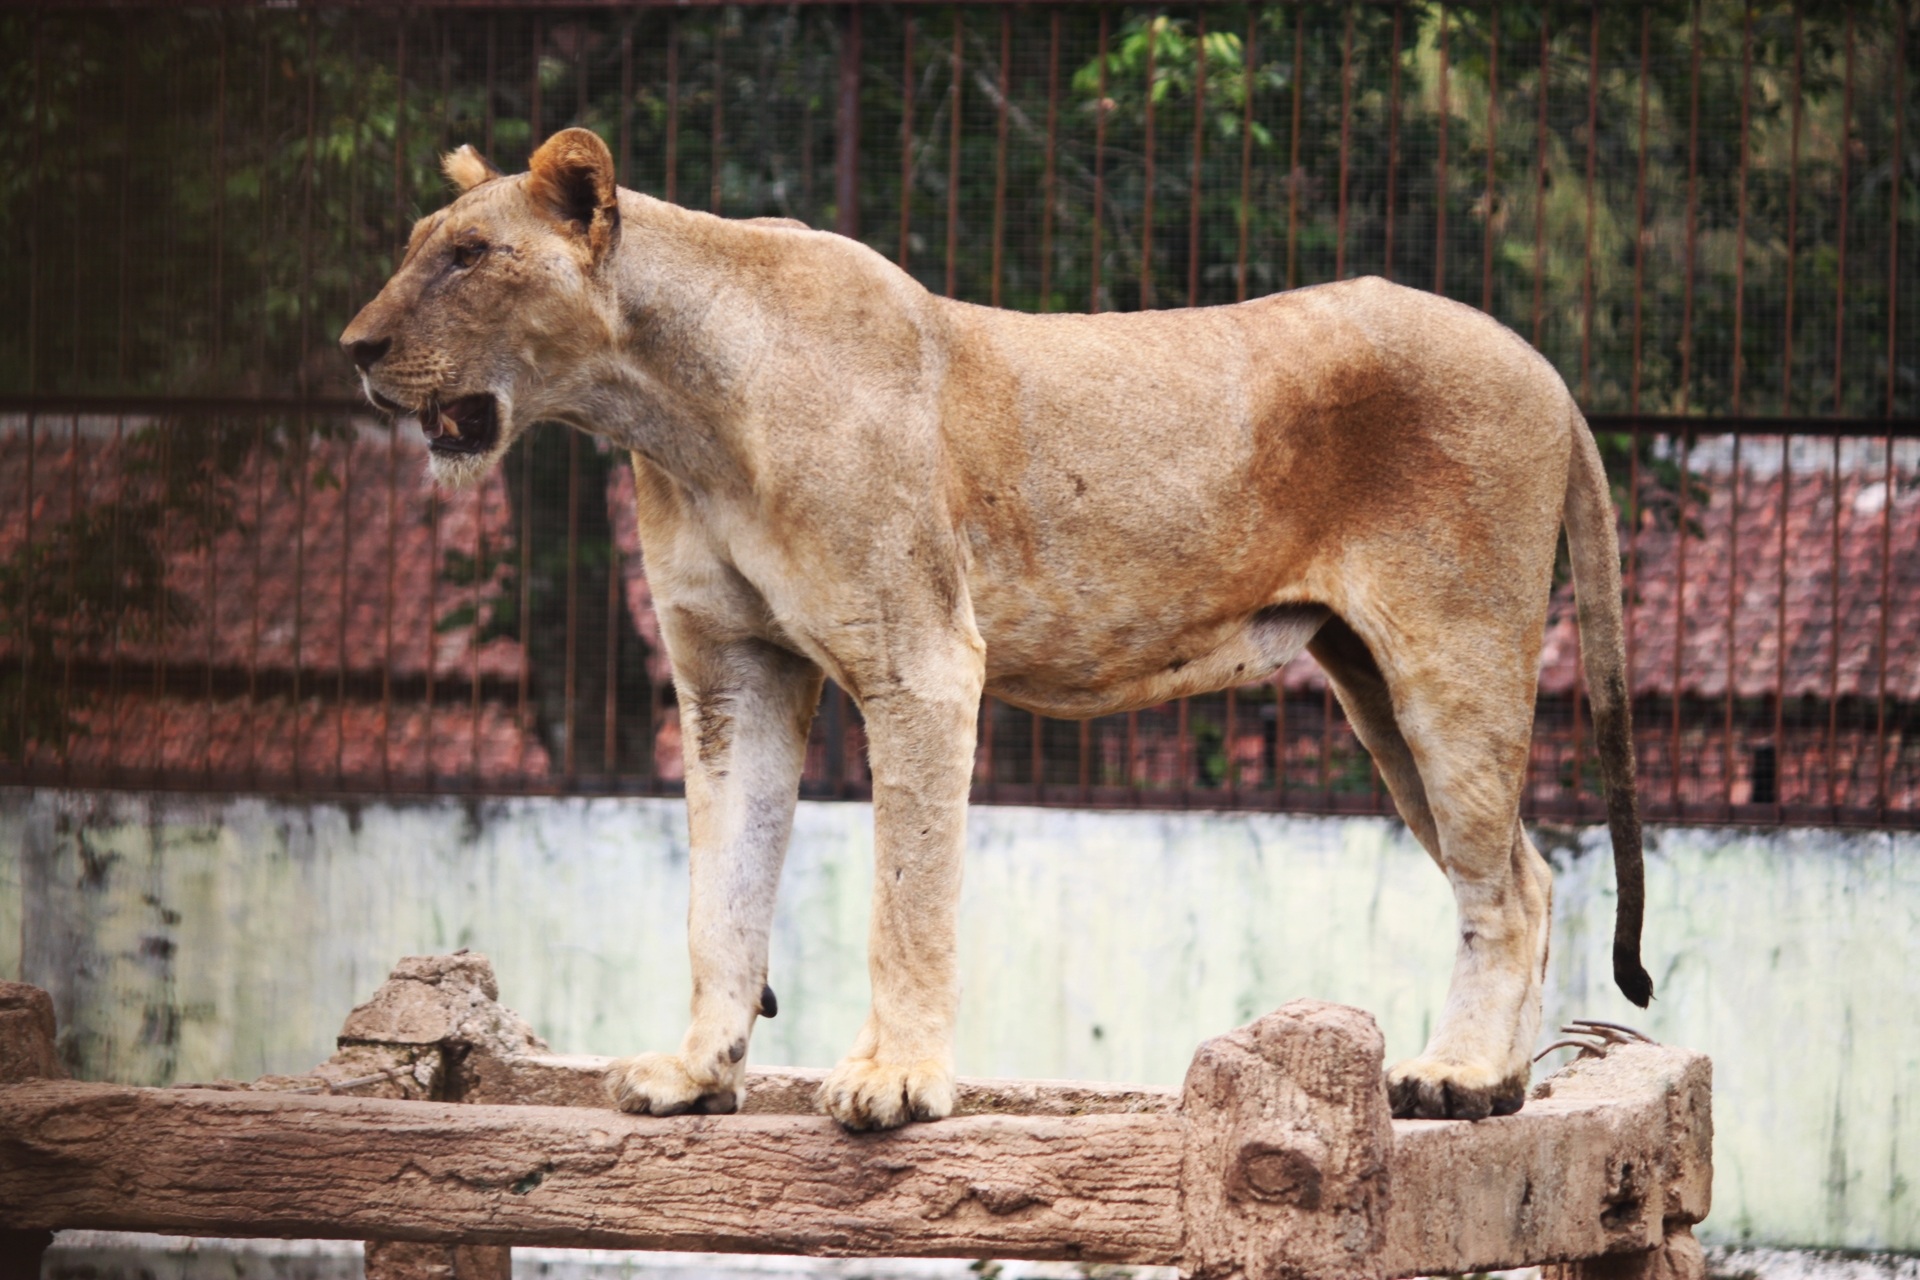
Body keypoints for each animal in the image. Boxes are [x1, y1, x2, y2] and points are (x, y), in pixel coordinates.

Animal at [341, 127, 1650, 1129]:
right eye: (414, 248)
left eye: (469, 255)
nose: (355, 349)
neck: (674, 409)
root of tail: (1542, 361)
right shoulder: (730, 677)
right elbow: (722, 890)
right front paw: (697, 1072)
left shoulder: (921, 661)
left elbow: (906, 889)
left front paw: (896, 1082)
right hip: (1373, 684)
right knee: (1524, 870)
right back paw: (1490, 1081)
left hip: (1451, 662)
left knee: (1508, 884)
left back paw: (1461, 1077)